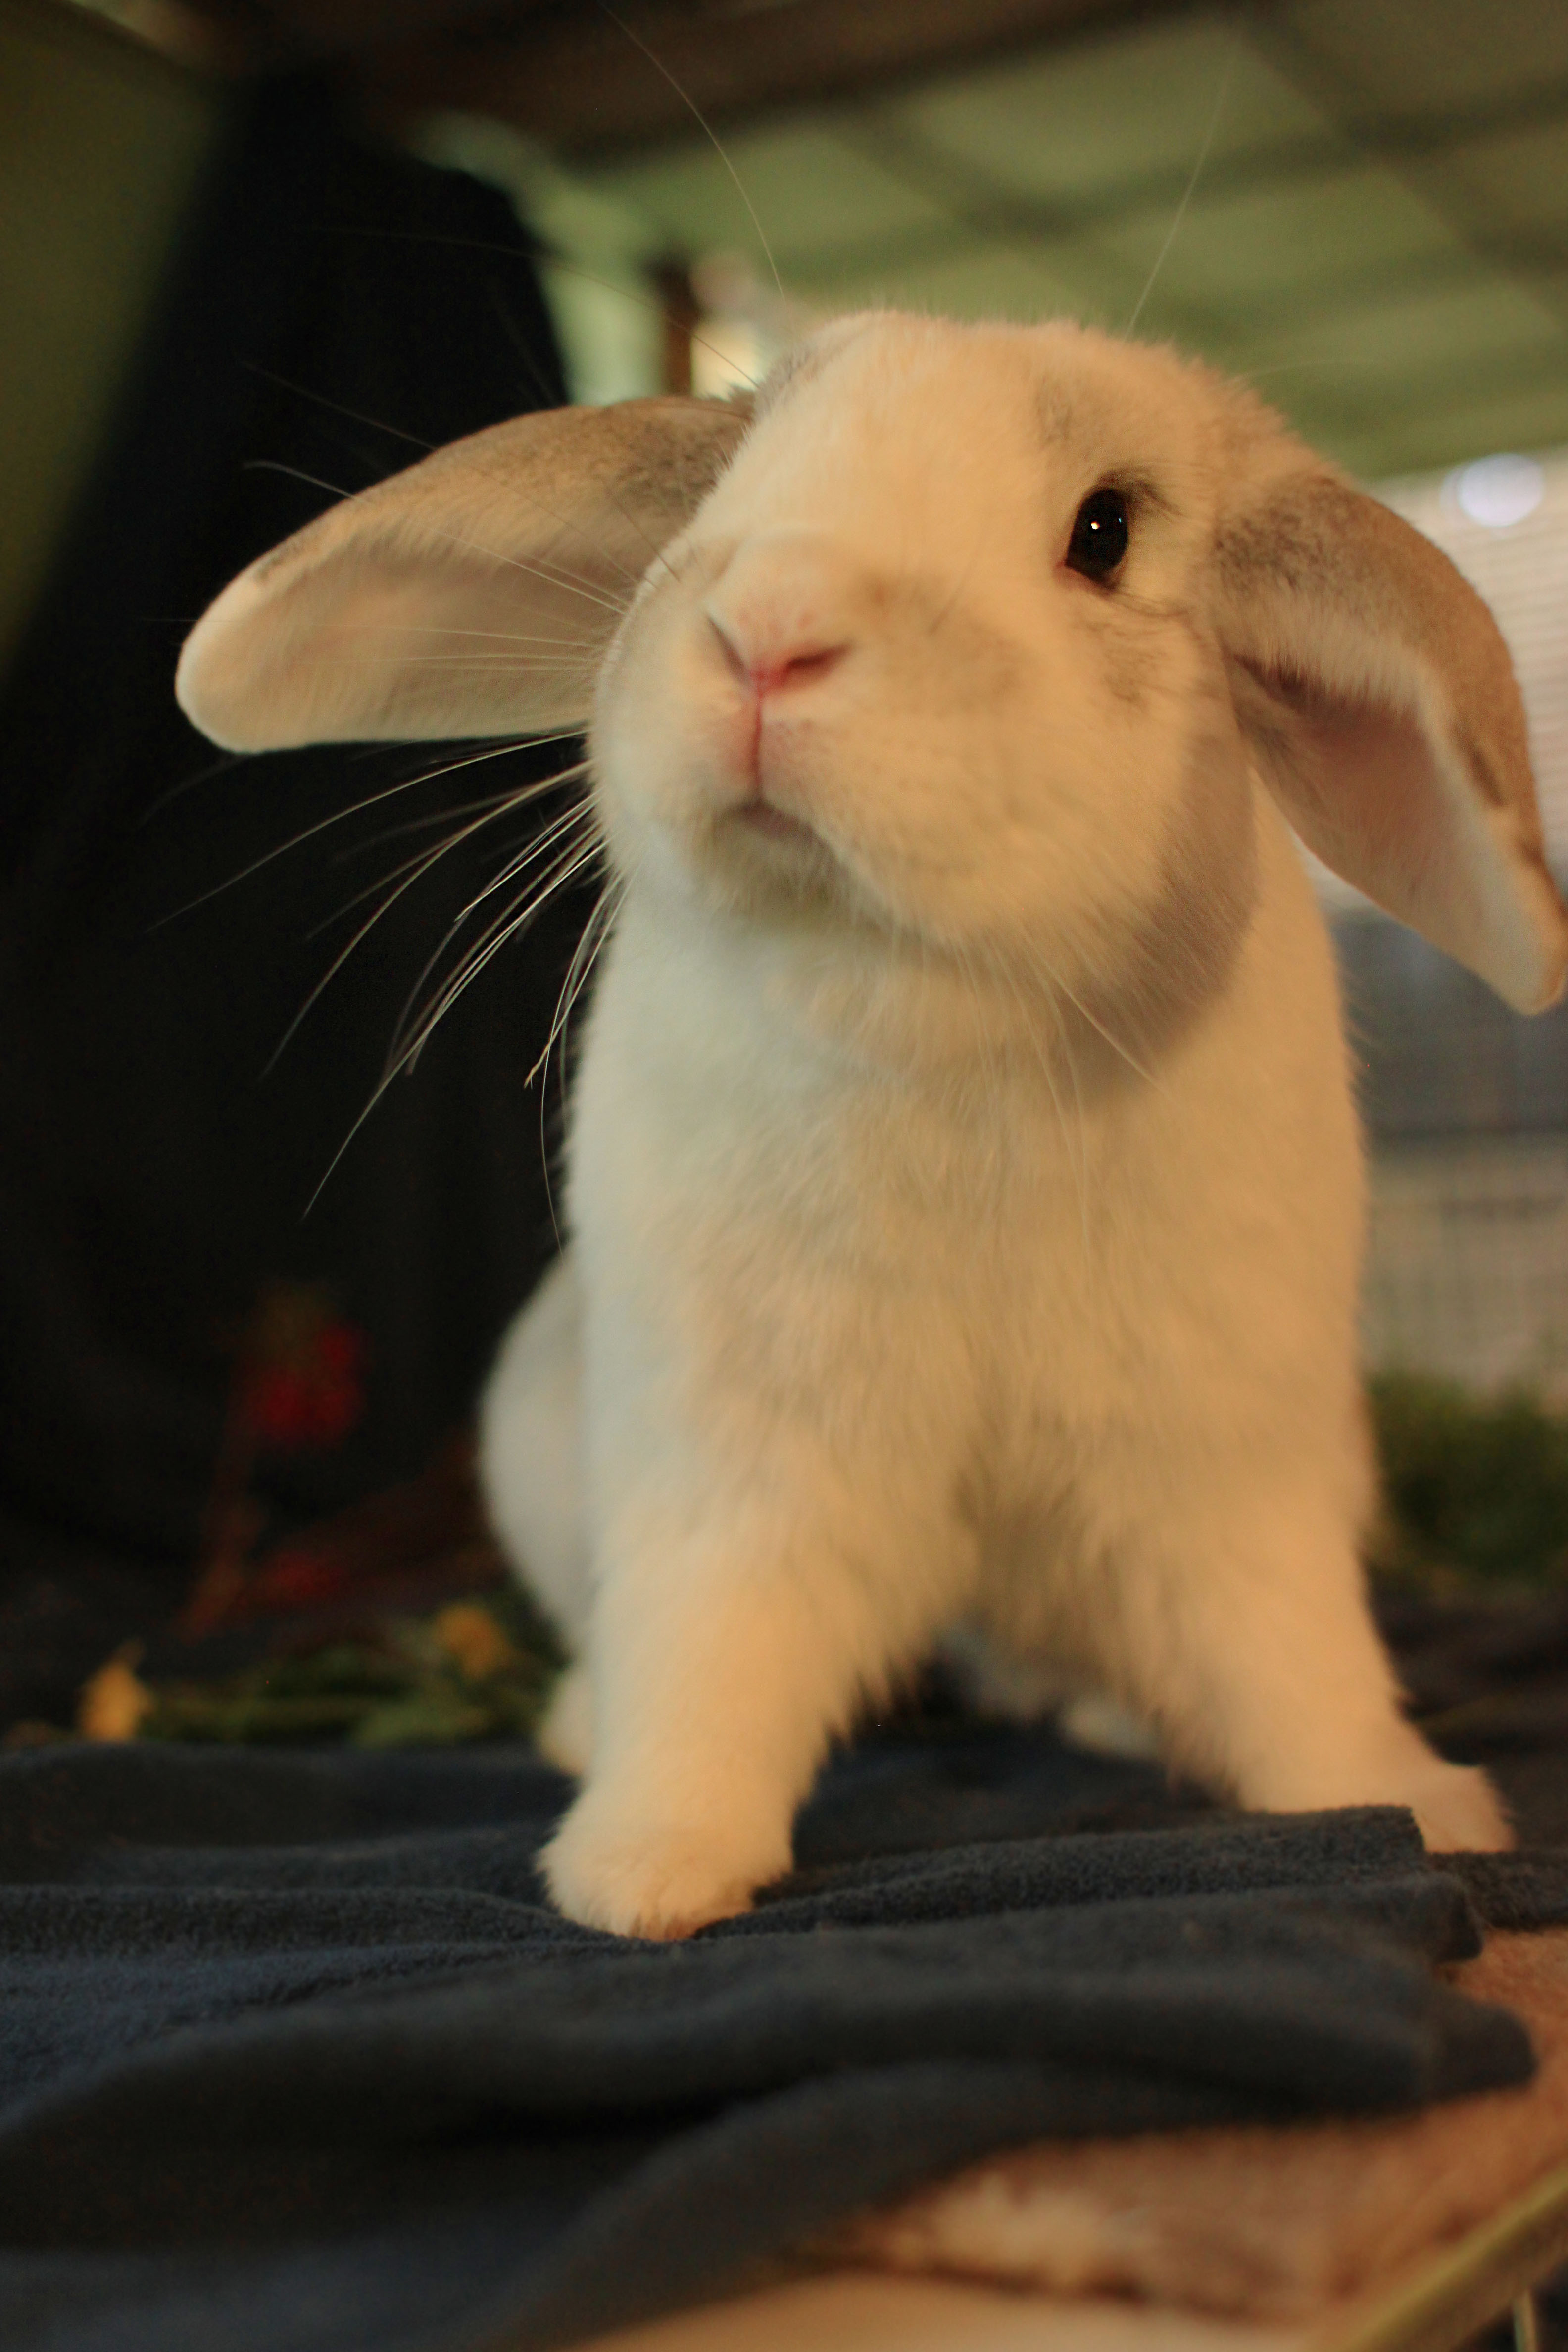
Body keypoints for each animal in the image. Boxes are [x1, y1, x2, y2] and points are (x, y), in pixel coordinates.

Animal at [176, 311, 1568, 1939]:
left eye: (1105, 532)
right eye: (735, 479)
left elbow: (1289, 1658)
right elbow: (709, 1652)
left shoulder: (1226, 1464)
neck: (928, 1008)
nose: (769, 623)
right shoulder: (734, 1458)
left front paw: (1412, 1803)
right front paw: (644, 1873)